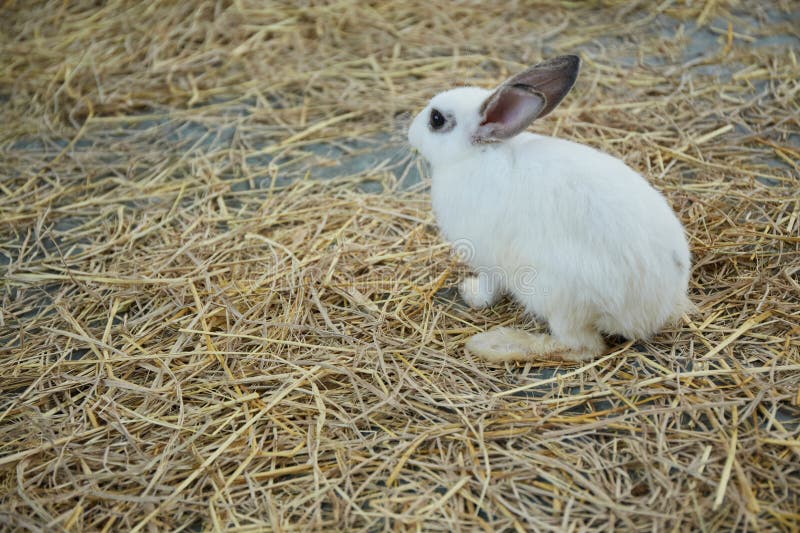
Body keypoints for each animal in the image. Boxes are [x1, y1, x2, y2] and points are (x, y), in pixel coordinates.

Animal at [407, 55, 691, 363]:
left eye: (436, 119)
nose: (410, 131)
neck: (475, 155)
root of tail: (654, 312)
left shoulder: (487, 259)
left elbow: (489, 287)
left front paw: (471, 294)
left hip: (557, 298)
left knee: (582, 346)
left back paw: (494, 344)